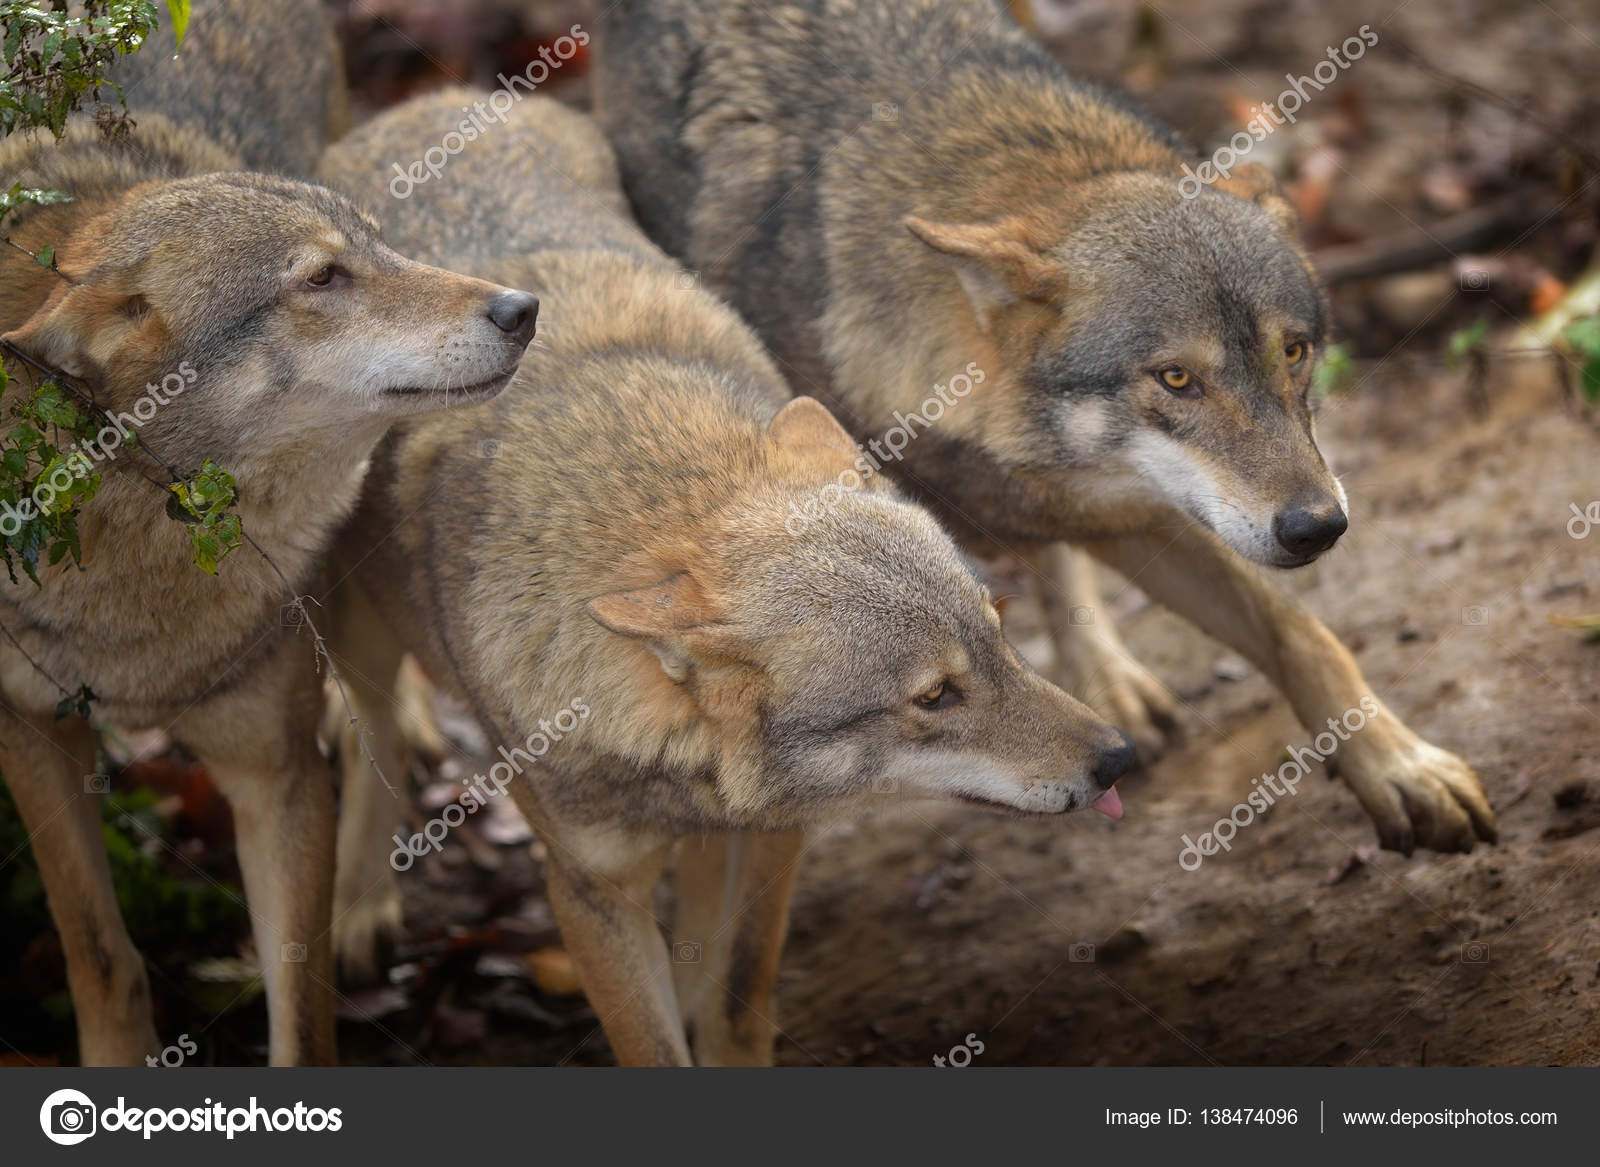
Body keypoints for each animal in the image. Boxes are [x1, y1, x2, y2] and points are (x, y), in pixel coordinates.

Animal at [0, 9, 537, 1063]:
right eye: (323, 278)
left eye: (386, 250)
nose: (522, 308)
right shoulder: (30, 735)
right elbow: (102, 953)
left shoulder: (277, 771)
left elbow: (303, 1003)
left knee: (374, 709)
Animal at [317, 89, 1133, 1065]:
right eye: (935, 696)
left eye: (1001, 636)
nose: (1119, 757)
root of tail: (426, 103)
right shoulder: (589, 894)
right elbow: (652, 1039)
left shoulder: (773, 834)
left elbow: (736, 995)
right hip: (355, 623)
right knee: (370, 721)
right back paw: (358, 905)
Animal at [592, 0, 1495, 856]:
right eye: (1177, 378)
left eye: (1296, 351)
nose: (1318, 526)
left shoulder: (1128, 504)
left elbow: (1300, 633)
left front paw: (1404, 769)